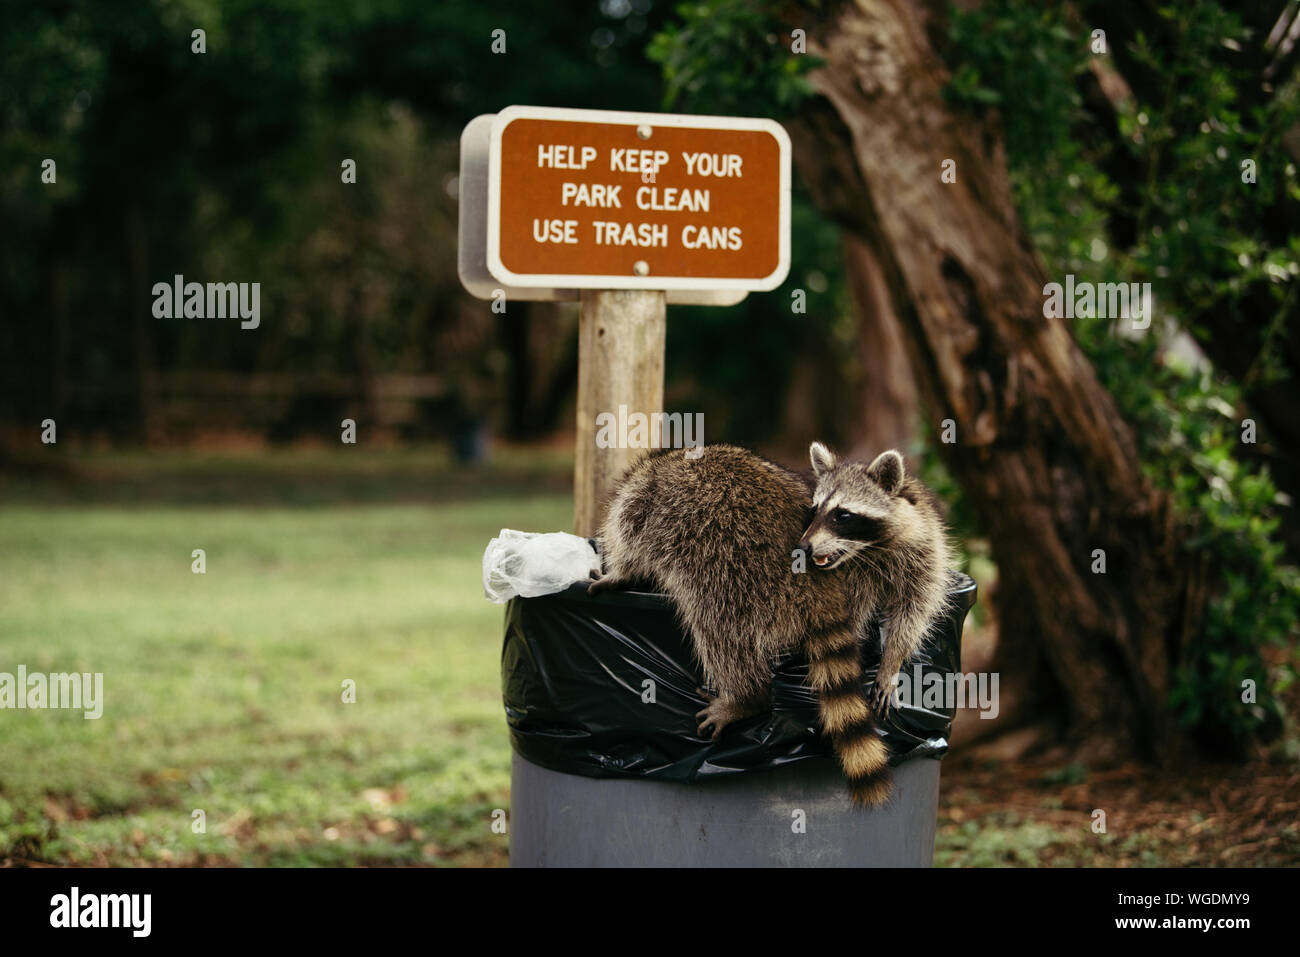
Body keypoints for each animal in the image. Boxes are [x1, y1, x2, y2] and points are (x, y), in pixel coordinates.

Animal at [588, 441, 951, 807]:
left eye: (843, 516)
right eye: (817, 509)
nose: (806, 545)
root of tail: (813, 587)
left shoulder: (645, 503)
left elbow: (631, 540)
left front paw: (618, 574)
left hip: (726, 568)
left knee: (717, 628)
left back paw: (747, 696)